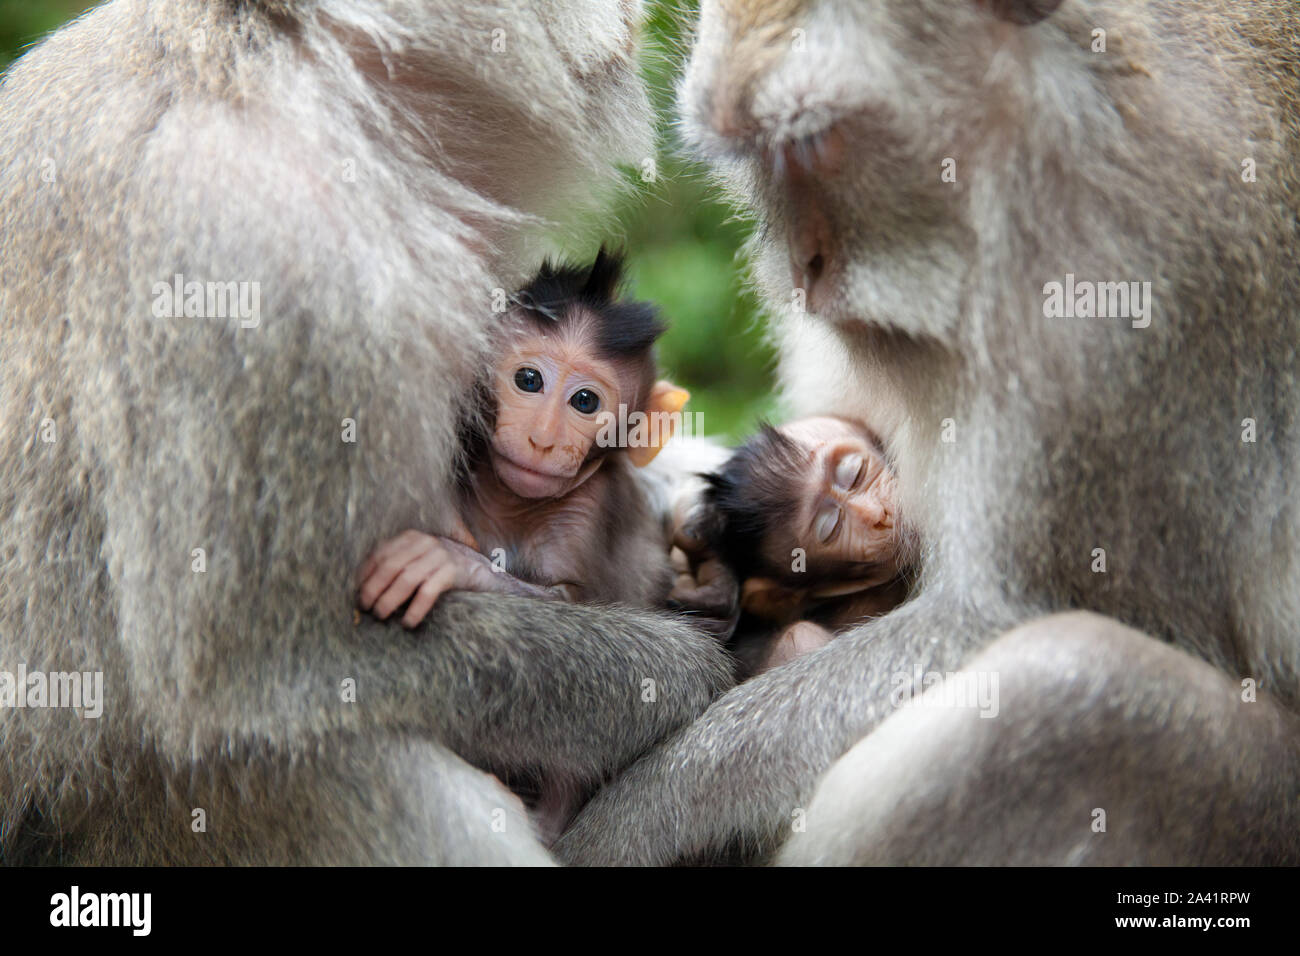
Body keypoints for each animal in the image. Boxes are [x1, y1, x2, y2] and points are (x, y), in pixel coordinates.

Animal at [357, 249, 692, 628]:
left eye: (585, 401)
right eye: (529, 380)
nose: (542, 439)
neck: (512, 506)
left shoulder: (589, 511)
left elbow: (572, 600)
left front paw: (448, 560)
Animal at [555, 0, 1300, 866]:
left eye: (810, 141)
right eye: (756, 153)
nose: (803, 264)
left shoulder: (1131, 312)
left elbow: (1001, 621)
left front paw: (631, 819)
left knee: (1071, 690)